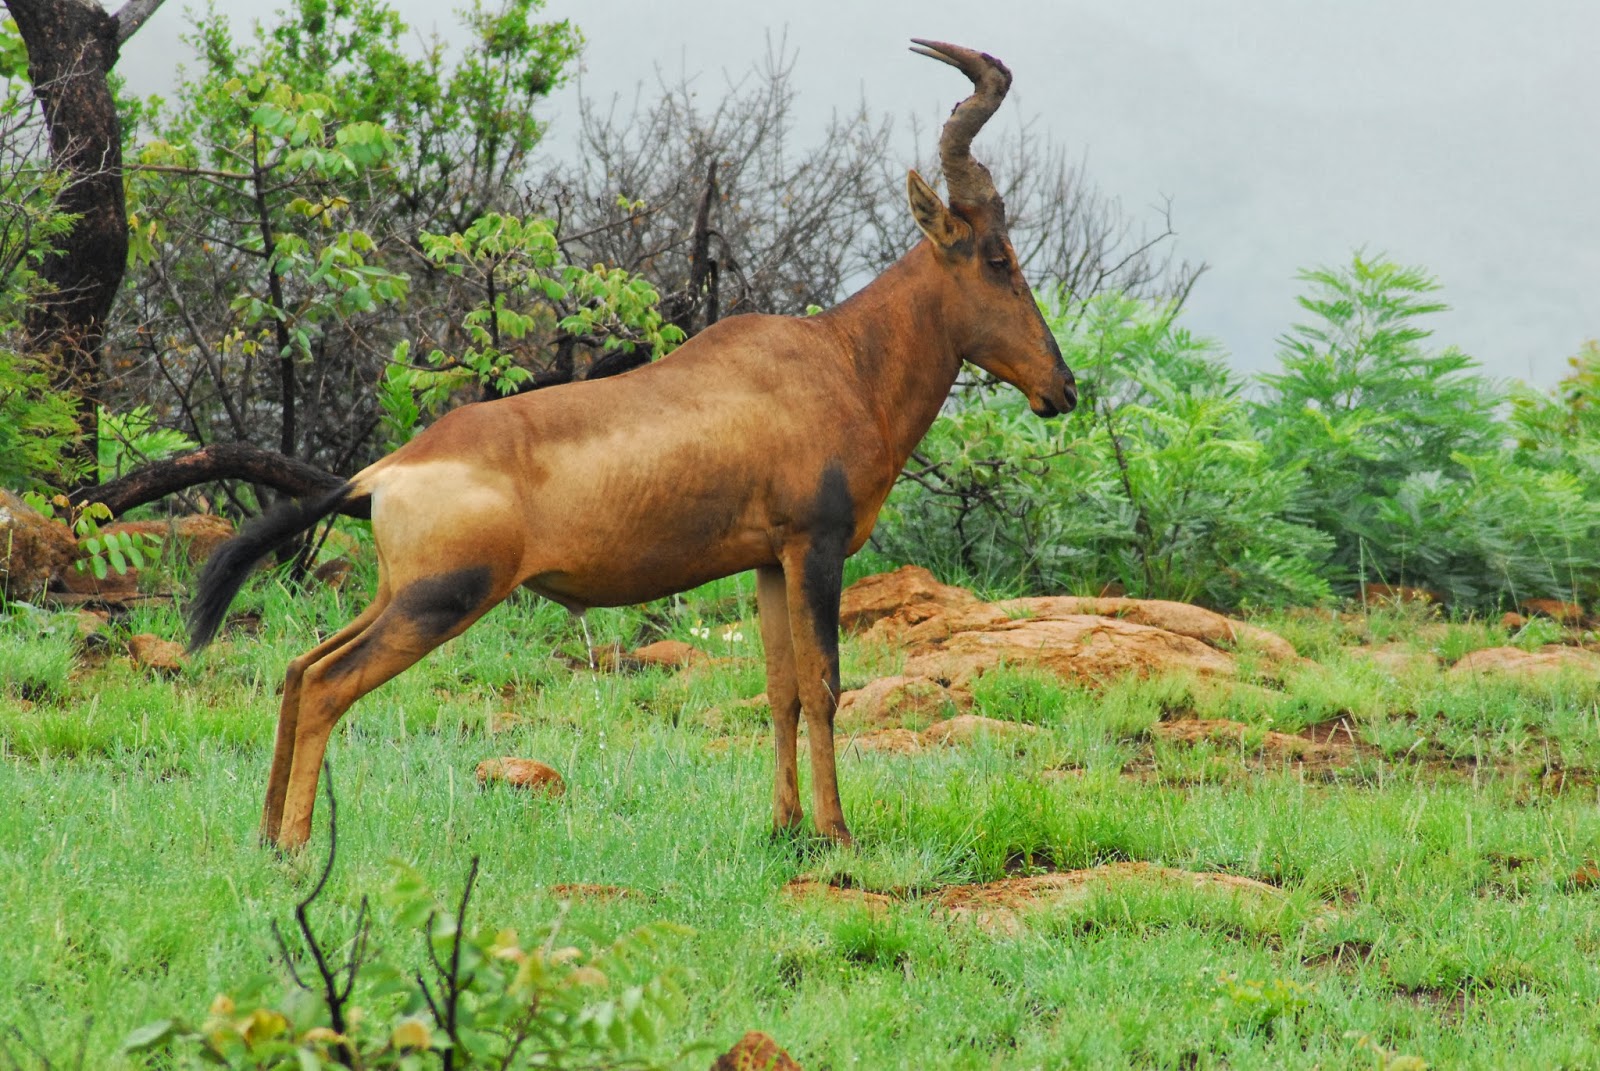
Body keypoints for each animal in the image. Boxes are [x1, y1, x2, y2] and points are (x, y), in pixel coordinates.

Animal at [189, 40, 1077, 850]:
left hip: (400, 593)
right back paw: (296, 846)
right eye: (998, 257)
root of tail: (382, 471)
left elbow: (782, 688)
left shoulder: (769, 560)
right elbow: (825, 683)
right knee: (330, 682)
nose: (1061, 389)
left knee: (300, 668)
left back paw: (265, 834)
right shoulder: (816, 547)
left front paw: (785, 825)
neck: (835, 358)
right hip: (443, 597)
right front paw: (837, 834)